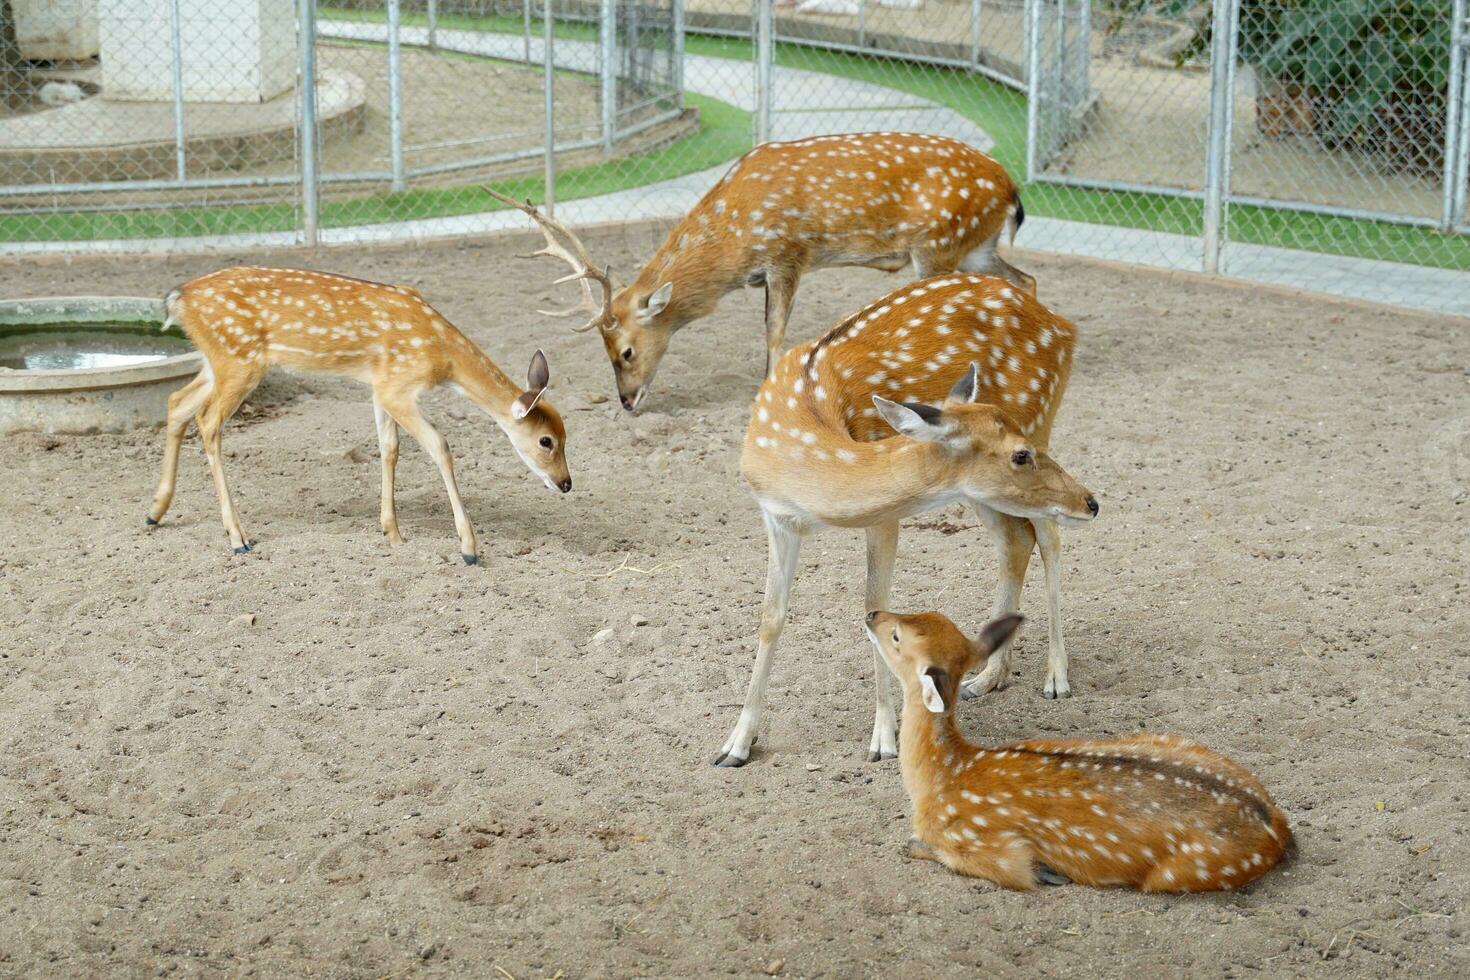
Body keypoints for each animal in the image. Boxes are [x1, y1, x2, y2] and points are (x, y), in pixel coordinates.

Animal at [145, 266, 571, 564]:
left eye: (567, 433)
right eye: (546, 441)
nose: (566, 483)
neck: (443, 358)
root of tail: (177, 298)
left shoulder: (380, 386)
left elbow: (389, 448)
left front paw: (393, 533)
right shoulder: (398, 386)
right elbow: (440, 445)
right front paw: (469, 547)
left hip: (216, 361)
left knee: (176, 402)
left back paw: (155, 512)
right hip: (239, 359)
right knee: (207, 421)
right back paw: (238, 538)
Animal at [492, 132, 1033, 412]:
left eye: (625, 351)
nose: (625, 401)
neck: (735, 239)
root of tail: (1011, 190)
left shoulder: (787, 252)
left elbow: (775, 330)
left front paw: (769, 387)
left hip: (938, 242)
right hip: (976, 246)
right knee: (1022, 279)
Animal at [711, 272, 1098, 768]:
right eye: (1019, 455)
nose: (1092, 502)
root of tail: (1063, 326)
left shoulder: (884, 515)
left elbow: (872, 605)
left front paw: (884, 739)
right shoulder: (775, 516)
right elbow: (770, 616)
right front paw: (736, 744)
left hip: (1038, 413)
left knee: (1047, 535)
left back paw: (1055, 676)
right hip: (988, 487)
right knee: (1016, 541)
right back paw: (989, 677)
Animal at [867, 610, 1294, 892]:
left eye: (897, 636)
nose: (872, 614)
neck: (942, 777)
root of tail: (1278, 828)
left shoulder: (994, 851)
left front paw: (1047, 872)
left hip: (1182, 873)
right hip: (1170, 739)